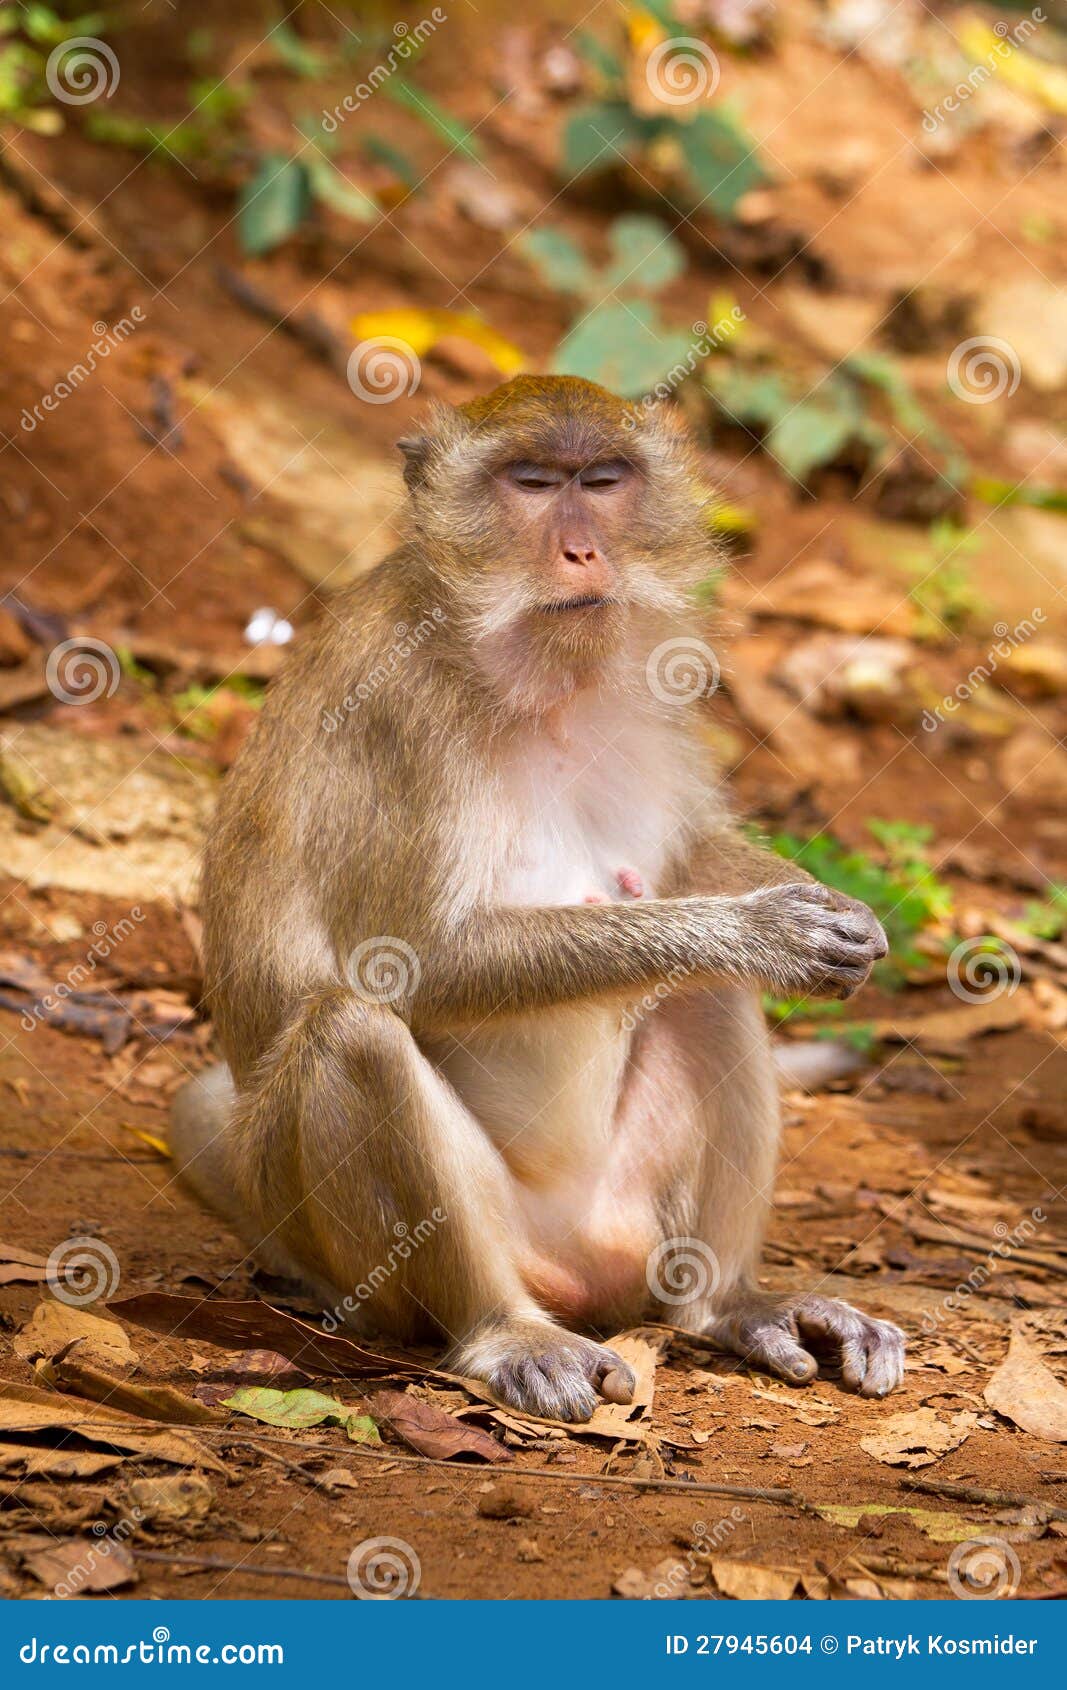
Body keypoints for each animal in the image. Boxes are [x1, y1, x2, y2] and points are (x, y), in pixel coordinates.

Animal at [170, 375, 905, 1422]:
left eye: (601, 480)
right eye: (529, 483)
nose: (581, 550)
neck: (529, 673)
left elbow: (684, 856)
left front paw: (826, 911)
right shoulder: (396, 712)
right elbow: (409, 964)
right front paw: (760, 930)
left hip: (632, 1217)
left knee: (705, 998)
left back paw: (732, 1304)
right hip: (363, 1261)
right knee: (350, 1034)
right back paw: (502, 1334)